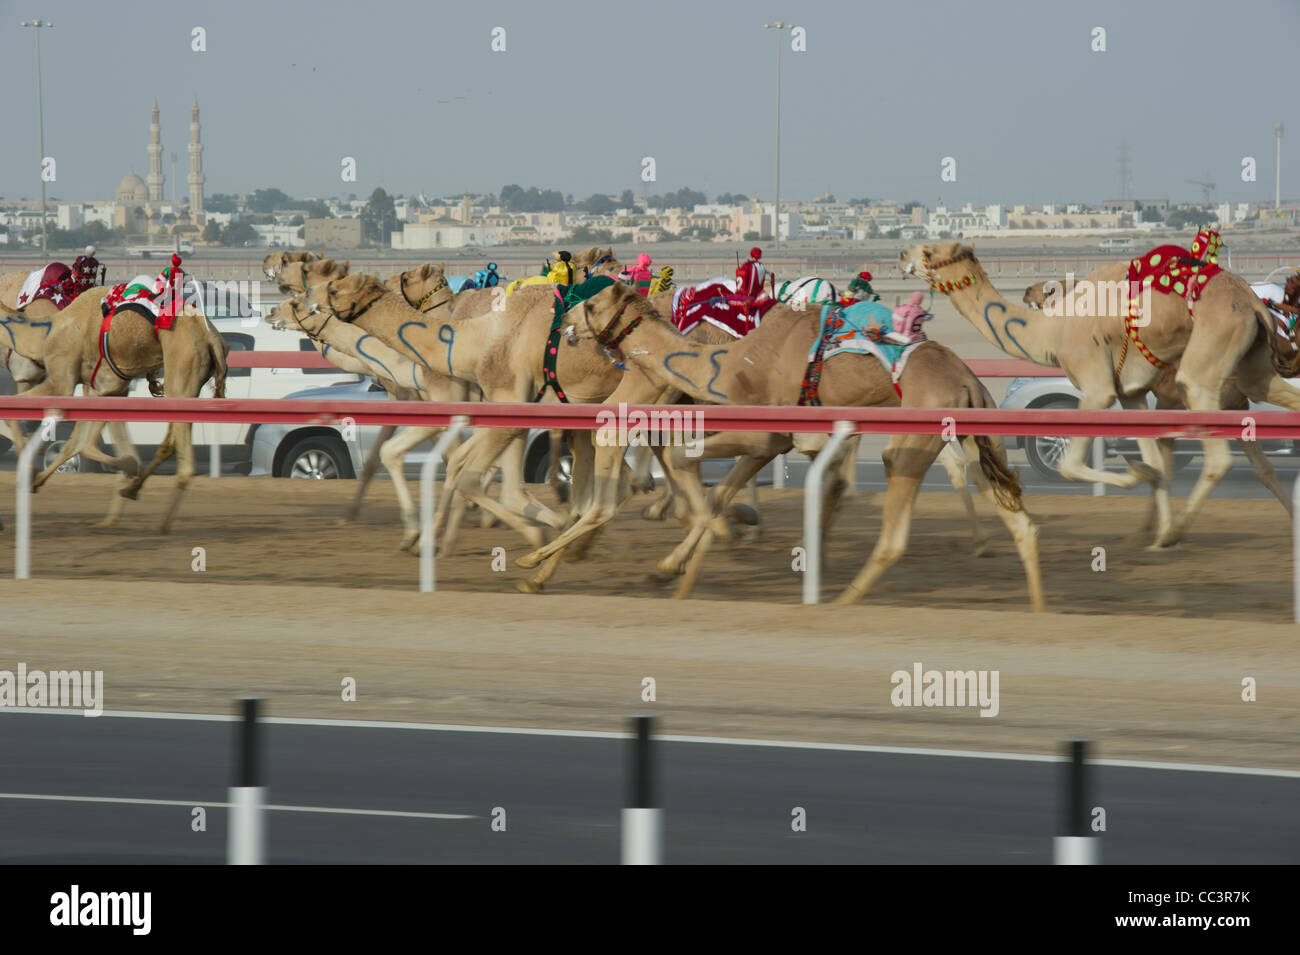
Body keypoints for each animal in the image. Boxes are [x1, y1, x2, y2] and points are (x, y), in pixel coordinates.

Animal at [559, 282, 1043, 607]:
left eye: (592, 303)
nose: (565, 322)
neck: (730, 363)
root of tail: (967, 380)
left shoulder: (764, 430)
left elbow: (688, 462)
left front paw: (703, 546)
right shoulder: (777, 441)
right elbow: (722, 491)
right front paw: (671, 567)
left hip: (913, 440)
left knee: (895, 530)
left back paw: (843, 599)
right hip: (977, 434)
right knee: (1019, 520)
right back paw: (1038, 609)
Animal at [901, 241, 1300, 547]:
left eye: (929, 250)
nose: (903, 253)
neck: (1053, 331)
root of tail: (1252, 301)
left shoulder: (1097, 389)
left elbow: (1072, 465)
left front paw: (1142, 492)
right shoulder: (1132, 393)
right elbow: (1158, 464)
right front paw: (1152, 525)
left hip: (1209, 357)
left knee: (1217, 454)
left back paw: (1179, 531)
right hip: (1251, 367)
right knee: (1264, 403)